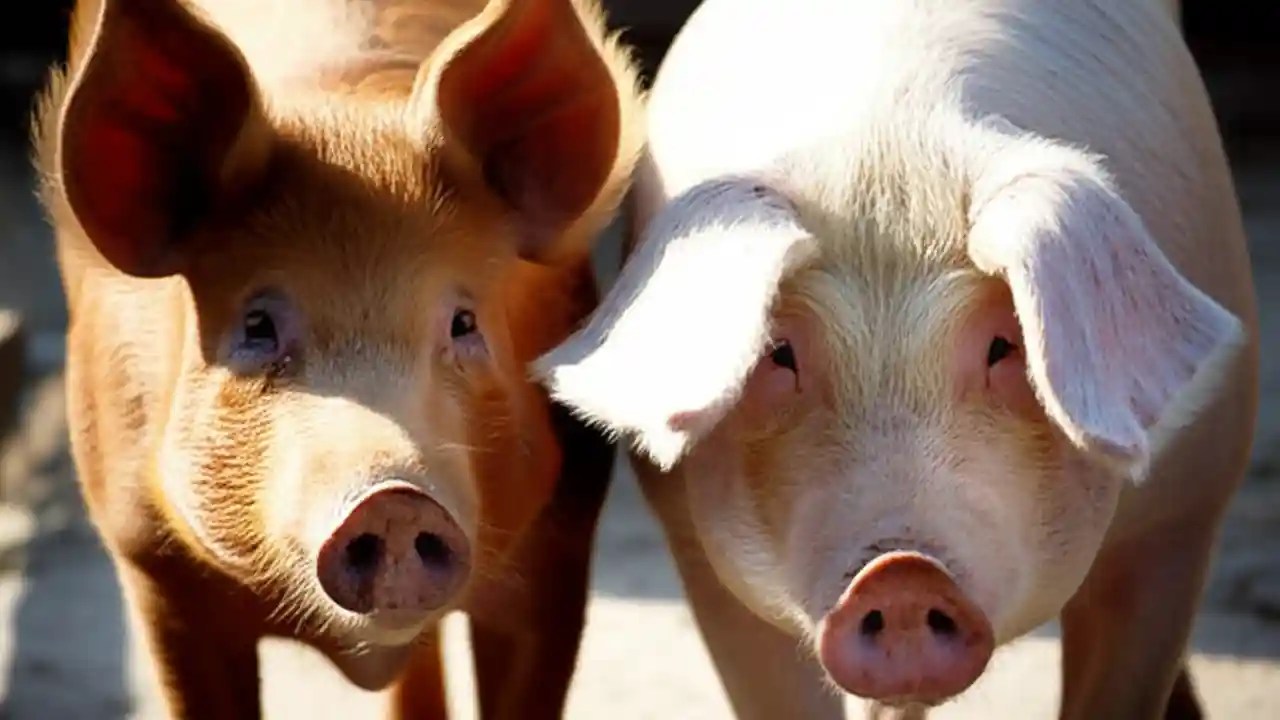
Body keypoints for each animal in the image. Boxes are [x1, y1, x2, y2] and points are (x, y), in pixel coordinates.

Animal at [536, 0, 1258, 718]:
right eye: (779, 352)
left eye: (1005, 344)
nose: (901, 574)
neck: (893, 155)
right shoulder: (695, 546)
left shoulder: (1183, 518)